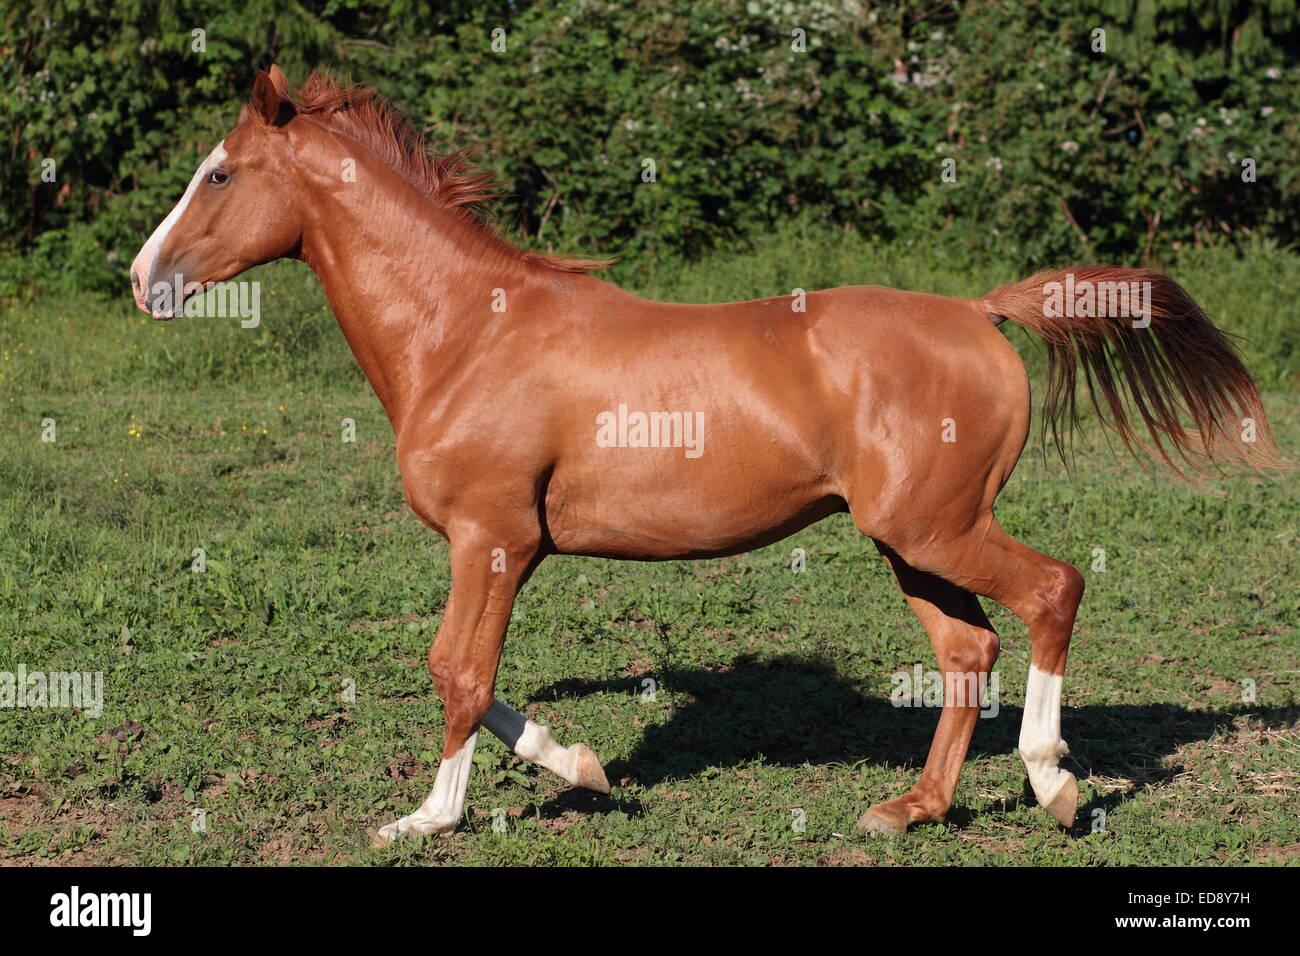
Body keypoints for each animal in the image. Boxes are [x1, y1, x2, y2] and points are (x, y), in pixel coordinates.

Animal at [130, 66, 1283, 842]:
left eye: (219, 173)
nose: (144, 281)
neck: (465, 333)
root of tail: (978, 311)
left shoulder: (489, 538)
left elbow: (457, 670)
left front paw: (429, 817)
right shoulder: (501, 545)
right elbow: (468, 675)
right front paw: (585, 766)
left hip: (936, 526)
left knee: (1053, 590)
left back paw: (1054, 784)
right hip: (909, 540)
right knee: (967, 650)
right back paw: (908, 808)